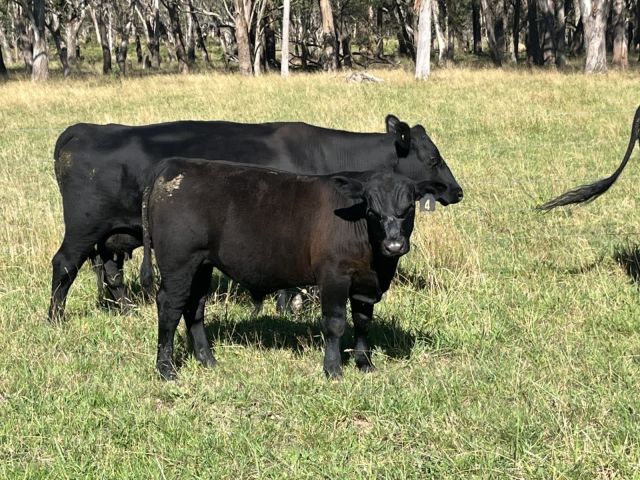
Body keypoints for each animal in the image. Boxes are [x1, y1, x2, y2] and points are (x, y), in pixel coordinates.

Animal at [49, 116, 463, 323]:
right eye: (432, 158)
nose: (456, 191)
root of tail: (82, 130)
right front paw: (290, 305)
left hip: (110, 235)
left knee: (110, 270)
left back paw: (125, 309)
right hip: (83, 228)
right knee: (64, 264)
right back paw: (56, 317)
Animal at [143, 159, 451, 379]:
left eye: (408, 208)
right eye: (372, 211)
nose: (394, 245)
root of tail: (174, 165)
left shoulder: (366, 284)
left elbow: (363, 322)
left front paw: (364, 364)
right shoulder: (334, 276)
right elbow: (335, 323)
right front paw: (333, 369)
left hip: (201, 265)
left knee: (195, 307)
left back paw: (207, 360)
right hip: (179, 264)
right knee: (170, 306)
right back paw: (166, 368)